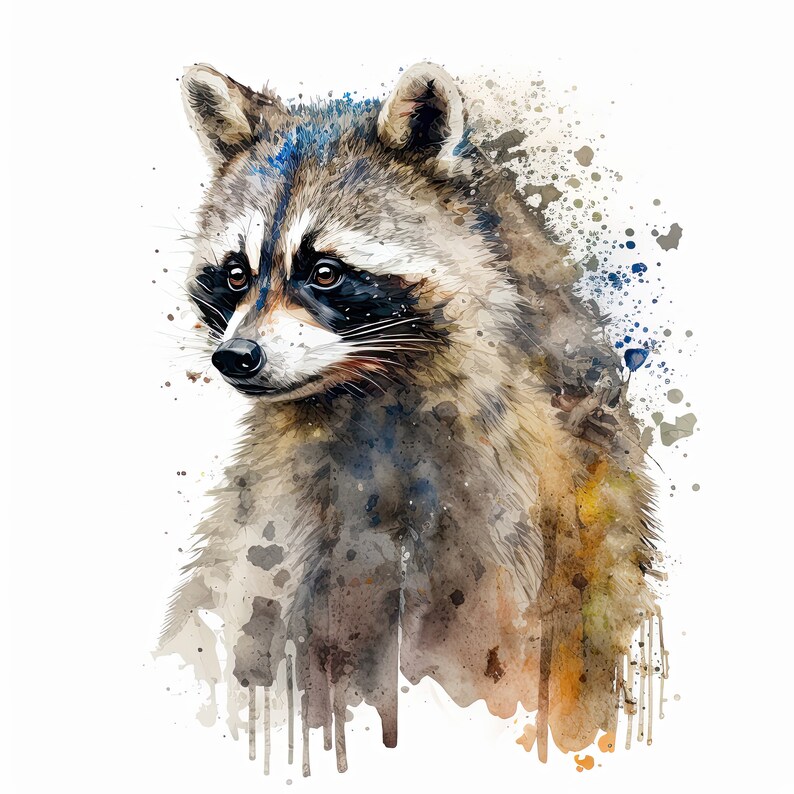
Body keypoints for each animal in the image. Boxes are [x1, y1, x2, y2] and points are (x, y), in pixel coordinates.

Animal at [157, 61, 661, 771]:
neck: (363, 394)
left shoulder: (500, 498)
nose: (235, 357)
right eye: (235, 275)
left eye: (326, 271)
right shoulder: (282, 517)